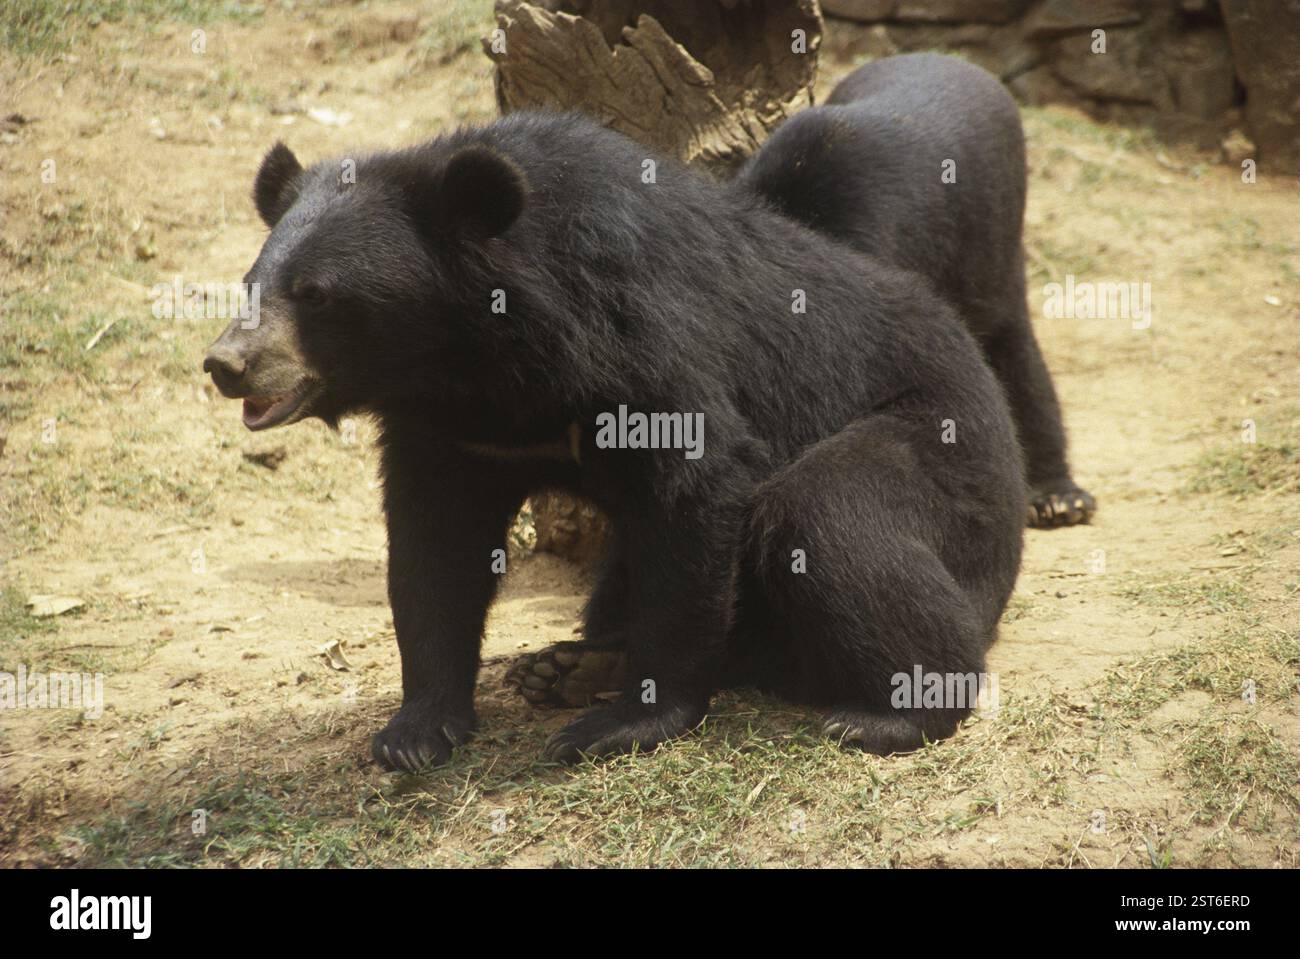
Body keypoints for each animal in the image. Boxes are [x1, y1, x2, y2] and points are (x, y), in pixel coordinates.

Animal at [203, 110, 1025, 771]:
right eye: (253, 283)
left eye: (315, 294)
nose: (225, 364)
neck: (475, 357)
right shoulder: (451, 434)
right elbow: (435, 549)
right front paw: (415, 733)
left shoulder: (640, 333)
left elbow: (698, 482)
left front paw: (623, 725)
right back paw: (569, 668)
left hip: (944, 452)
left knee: (829, 512)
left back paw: (887, 714)